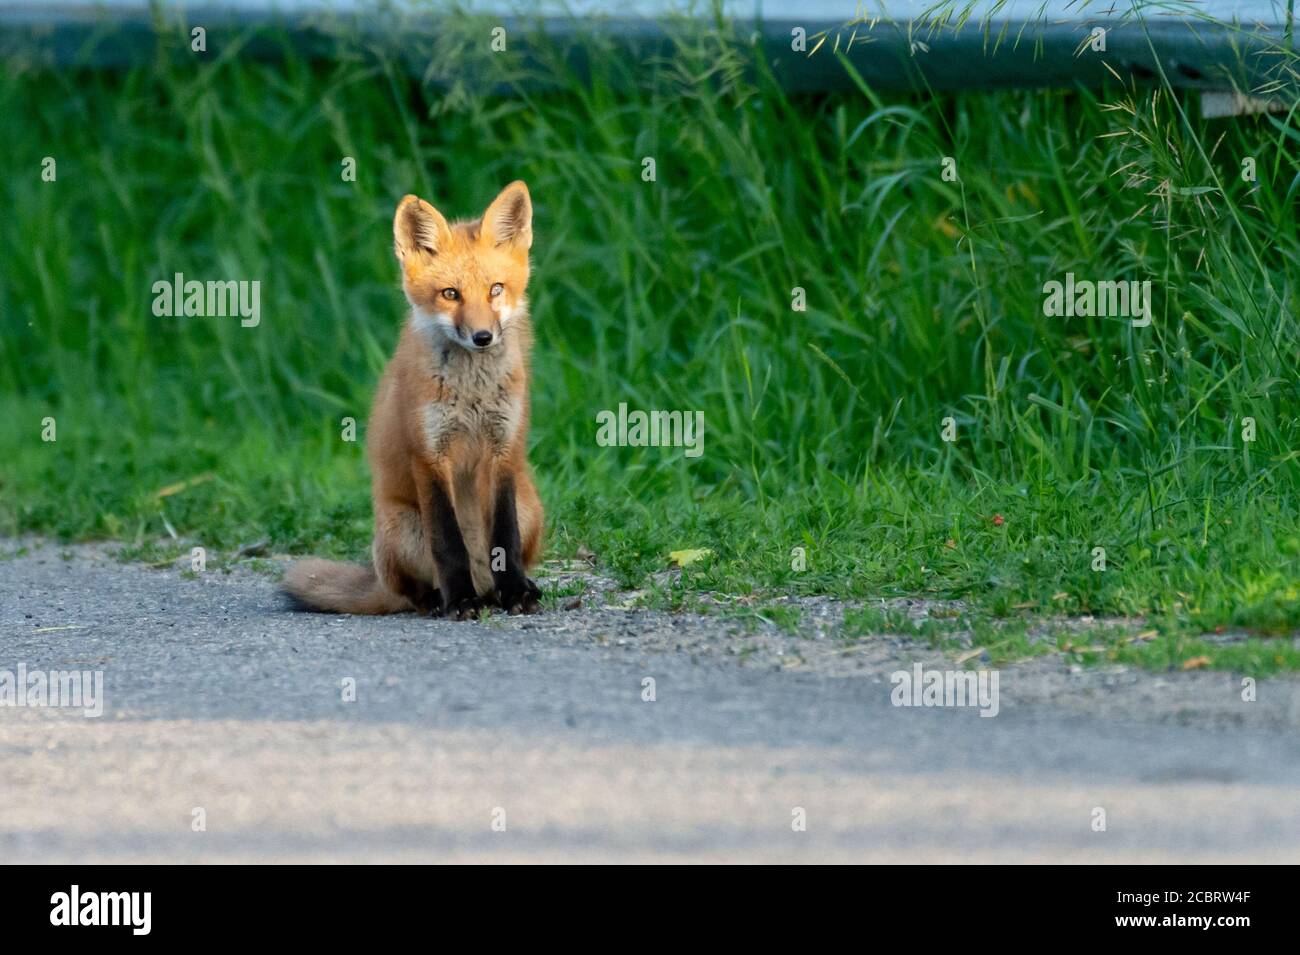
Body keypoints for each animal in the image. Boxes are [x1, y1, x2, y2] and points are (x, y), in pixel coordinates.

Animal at [283, 181, 544, 620]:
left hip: (532, 506)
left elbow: (504, 540)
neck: (471, 393)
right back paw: (440, 599)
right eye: (450, 294)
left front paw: (516, 593)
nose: (483, 337)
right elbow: (448, 543)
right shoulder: (428, 455)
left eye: (495, 289)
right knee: (412, 591)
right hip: (400, 527)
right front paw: (461, 601)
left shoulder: (504, 451)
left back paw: (505, 591)